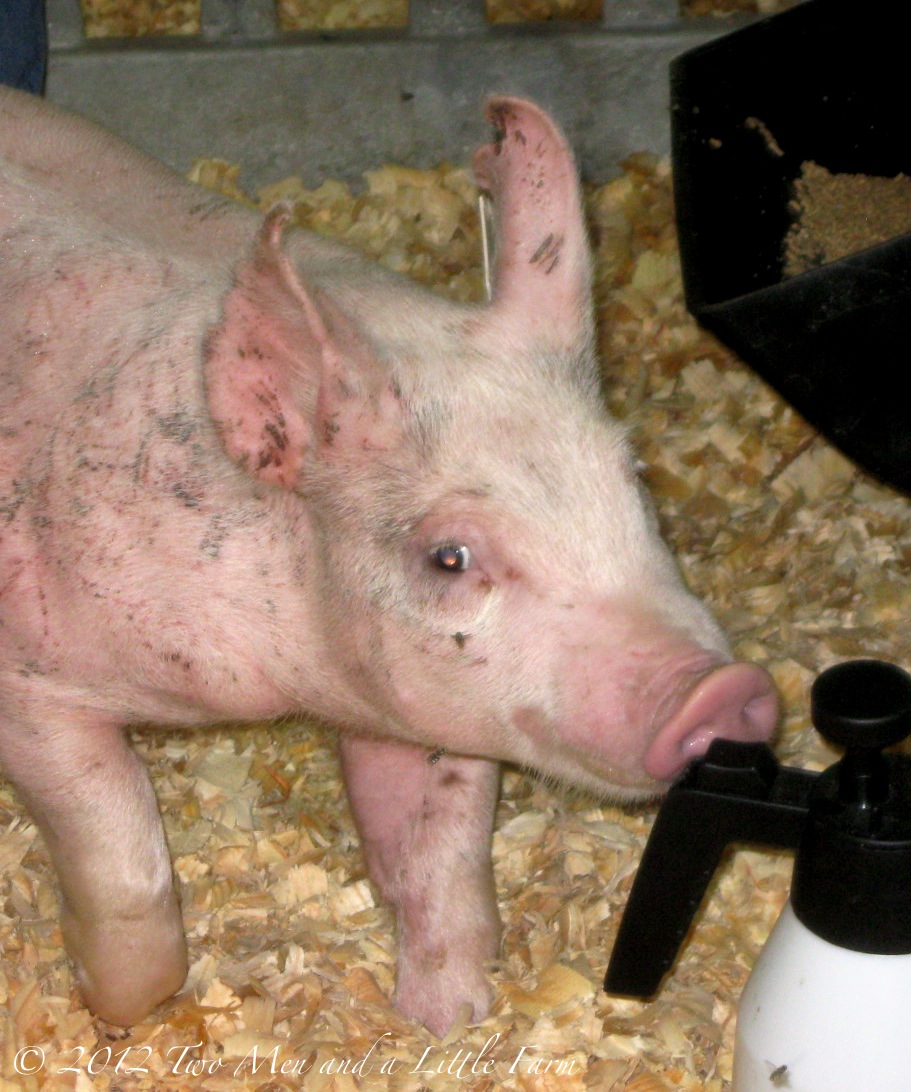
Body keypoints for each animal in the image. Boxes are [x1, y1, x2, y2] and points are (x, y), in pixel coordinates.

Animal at [0, 85, 779, 1036]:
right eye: (448, 557)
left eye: (633, 480)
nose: (728, 691)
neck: (282, 679)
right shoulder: (29, 684)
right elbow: (123, 857)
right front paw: (113, 1014)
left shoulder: (428, 703)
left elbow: (439, 856)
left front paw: (448, 1023)